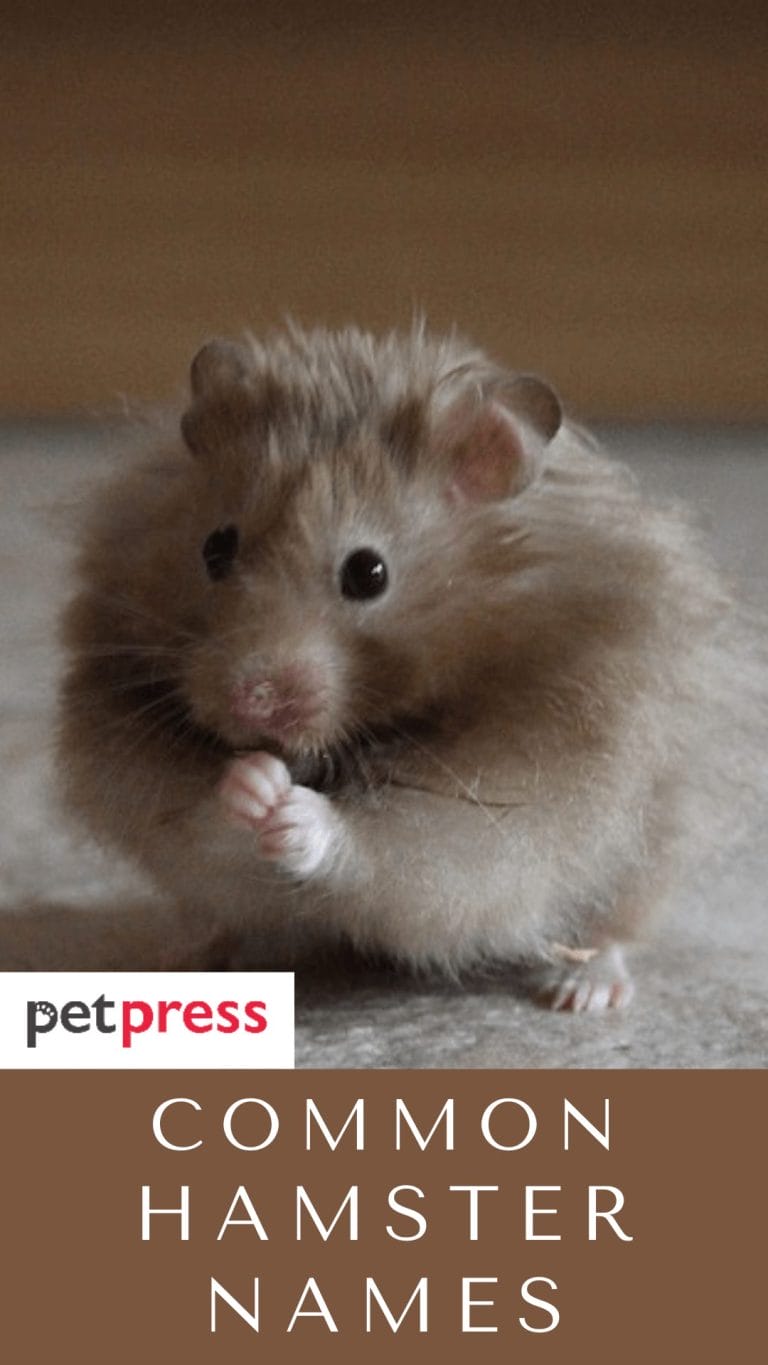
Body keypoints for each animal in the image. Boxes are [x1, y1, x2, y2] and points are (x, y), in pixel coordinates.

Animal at [56, 323, 767, 1010]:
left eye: (368, 573)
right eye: (214, 548)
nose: (251, 699)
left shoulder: (502, 807)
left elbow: (379, 845)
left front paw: (293, 813)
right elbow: (202, 816)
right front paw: (251, 783)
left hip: (652, 842)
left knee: (614, 929)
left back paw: (582, 994)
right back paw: (174, 959)